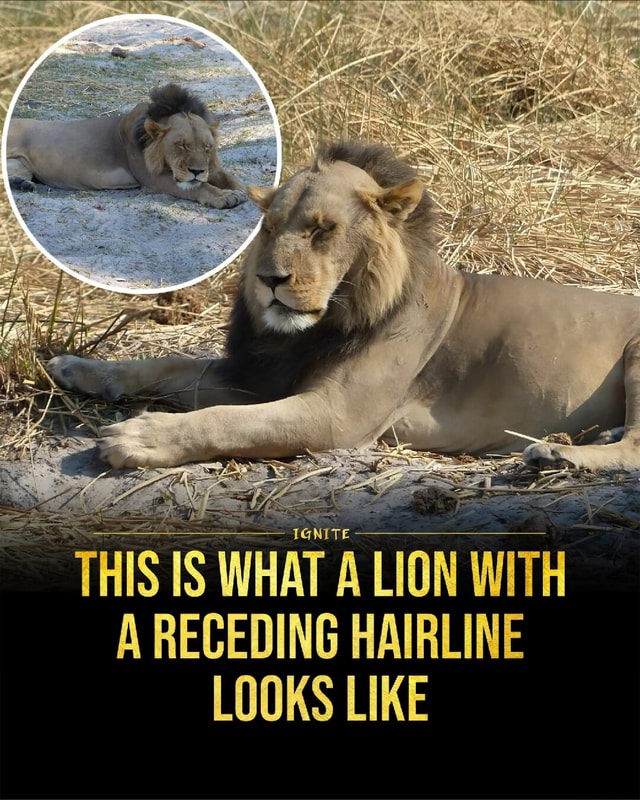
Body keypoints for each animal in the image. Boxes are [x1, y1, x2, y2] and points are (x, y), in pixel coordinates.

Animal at [6, 83, 246, 209]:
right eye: (181, 145)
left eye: (207, 147)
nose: (197, 171)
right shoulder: (153, 178)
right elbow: (199, 187)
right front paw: (225, 197)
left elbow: (229, 179)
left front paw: (244, 191)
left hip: (22, 165)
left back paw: (22, 184)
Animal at [46, 141, 640, 472]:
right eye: (269, 227)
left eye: (322, 230)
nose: (269, 280)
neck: (321, 325)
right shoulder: (261, 375)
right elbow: (170, 365)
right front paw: (80, 368)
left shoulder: (335, 416)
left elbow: (227, 422)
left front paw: (137, 438)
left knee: (634, 450)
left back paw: (555, 454)